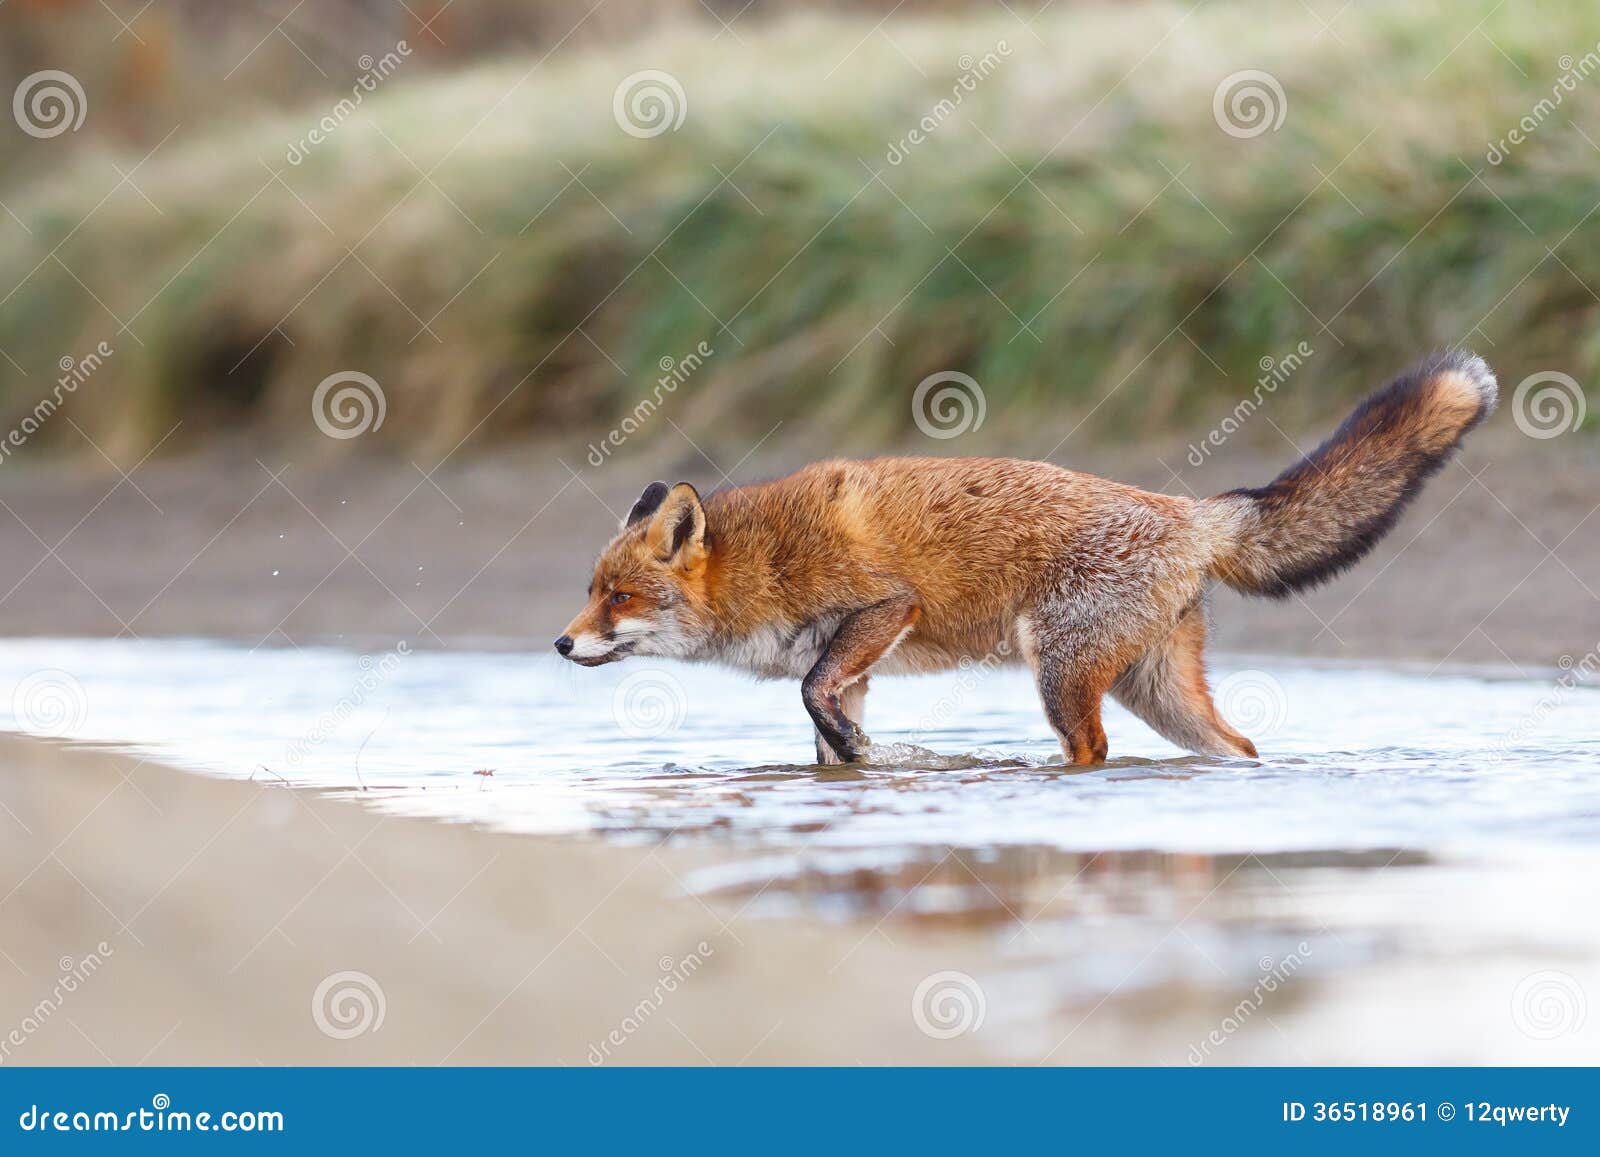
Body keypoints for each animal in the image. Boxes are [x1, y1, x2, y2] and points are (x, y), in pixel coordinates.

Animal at [556, 351, 1497, 766]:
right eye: (592, 590)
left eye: (619, 596)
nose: (561, 644)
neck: (762, 562)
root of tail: (1192, 512)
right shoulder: (850, 665)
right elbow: (826, 730)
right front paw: (854, 762)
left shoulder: (882, 608)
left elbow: (812, 693)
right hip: (1161, 692)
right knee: (1237, 745)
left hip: (1062, 671)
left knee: (1090, 749)